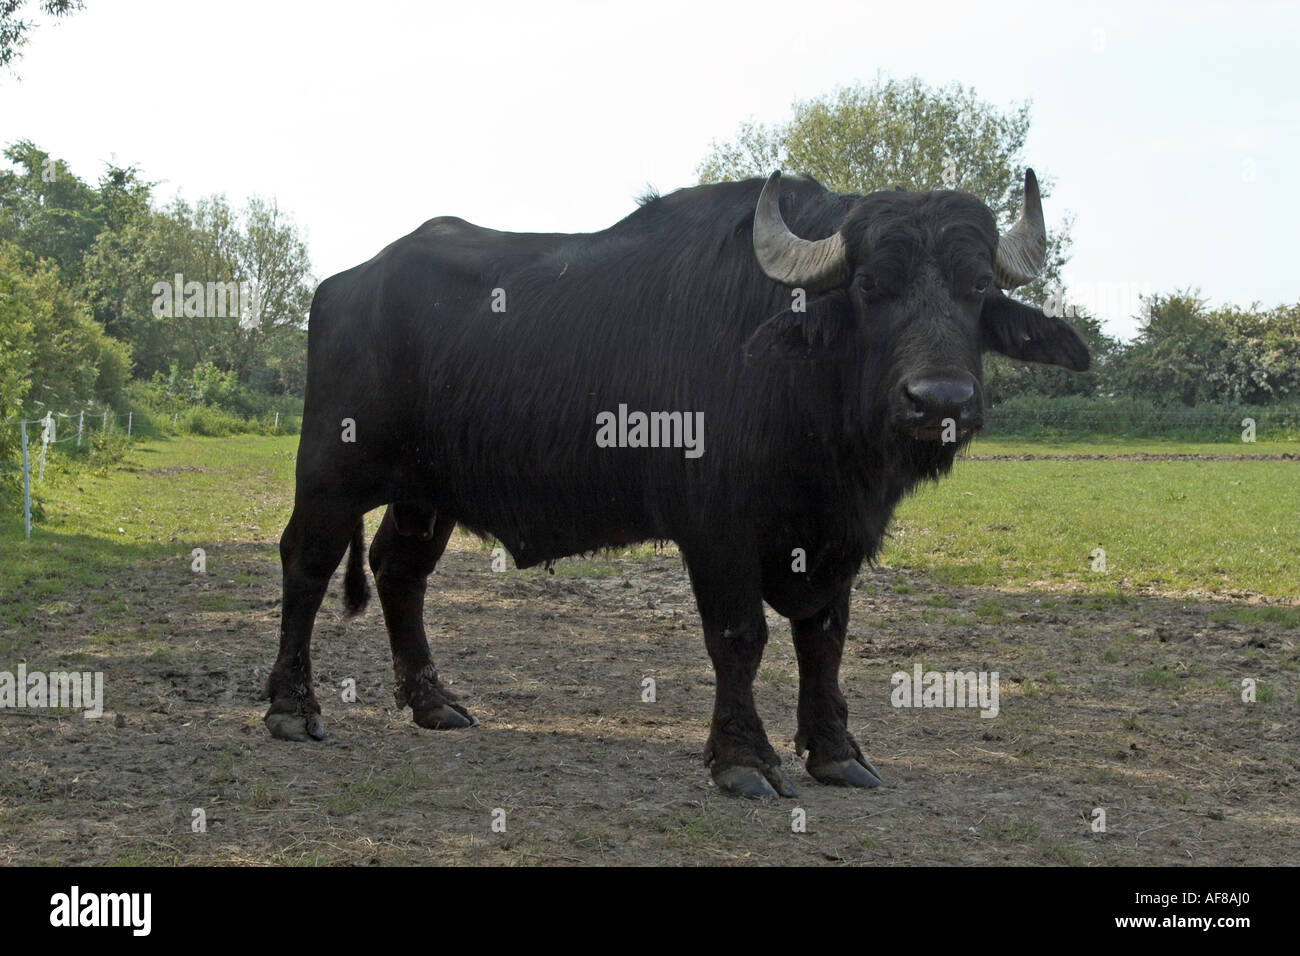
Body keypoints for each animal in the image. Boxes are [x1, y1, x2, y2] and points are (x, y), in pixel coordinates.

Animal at [265, 167, 1090, 798]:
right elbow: (740, 637)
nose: (940, 400)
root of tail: (344, 285)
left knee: (399, 572)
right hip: (332, 470)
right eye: (869, 286)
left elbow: (824, 637)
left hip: (425, 493)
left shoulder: (840, 532)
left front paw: (835, 753)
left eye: (976, 287)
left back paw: (434, 702)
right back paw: (291, 709)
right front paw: (743, 760)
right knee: (306, 562)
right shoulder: (716, 528)